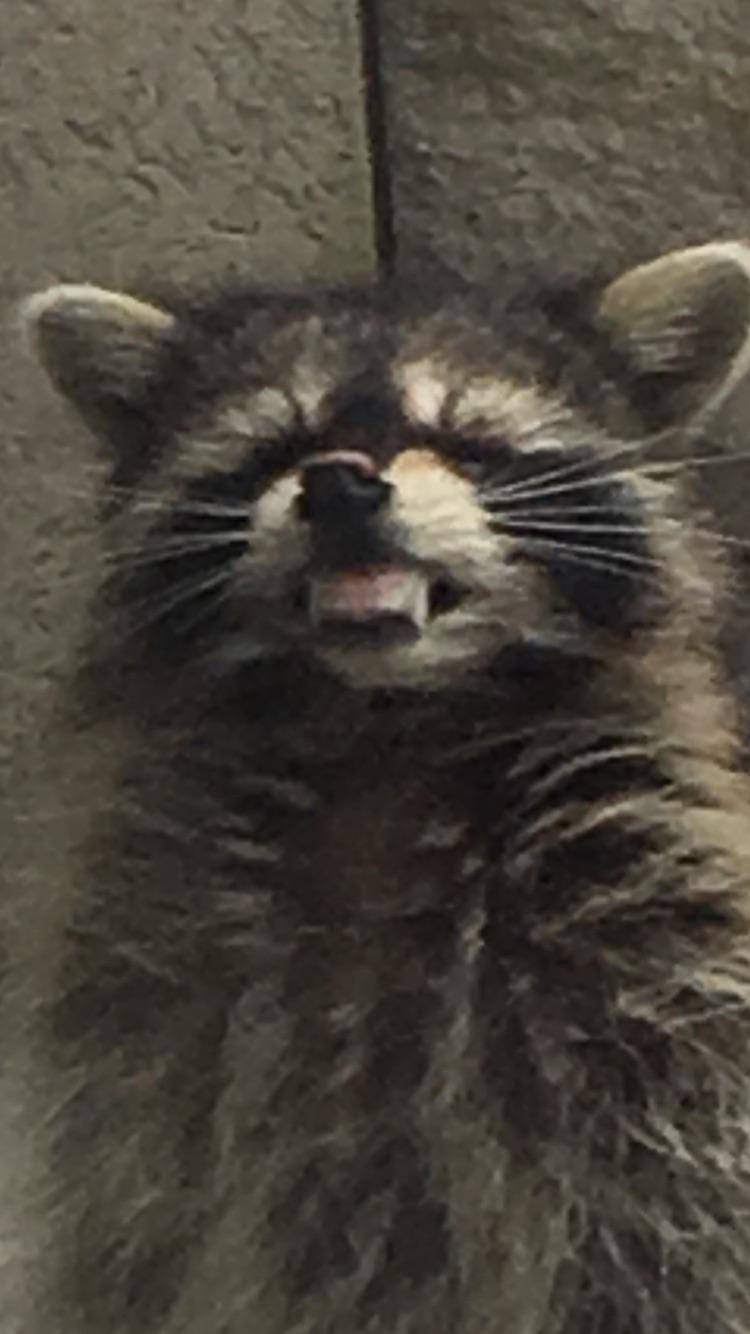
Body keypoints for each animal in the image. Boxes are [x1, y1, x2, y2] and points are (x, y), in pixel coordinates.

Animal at [11, 241, 750, 1334]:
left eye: (467, 440)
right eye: (282, 442)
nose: (341, 489)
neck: (385, 721)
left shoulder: (653, 935)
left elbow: (675, 1217)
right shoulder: (148, 984)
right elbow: (143, 1224)